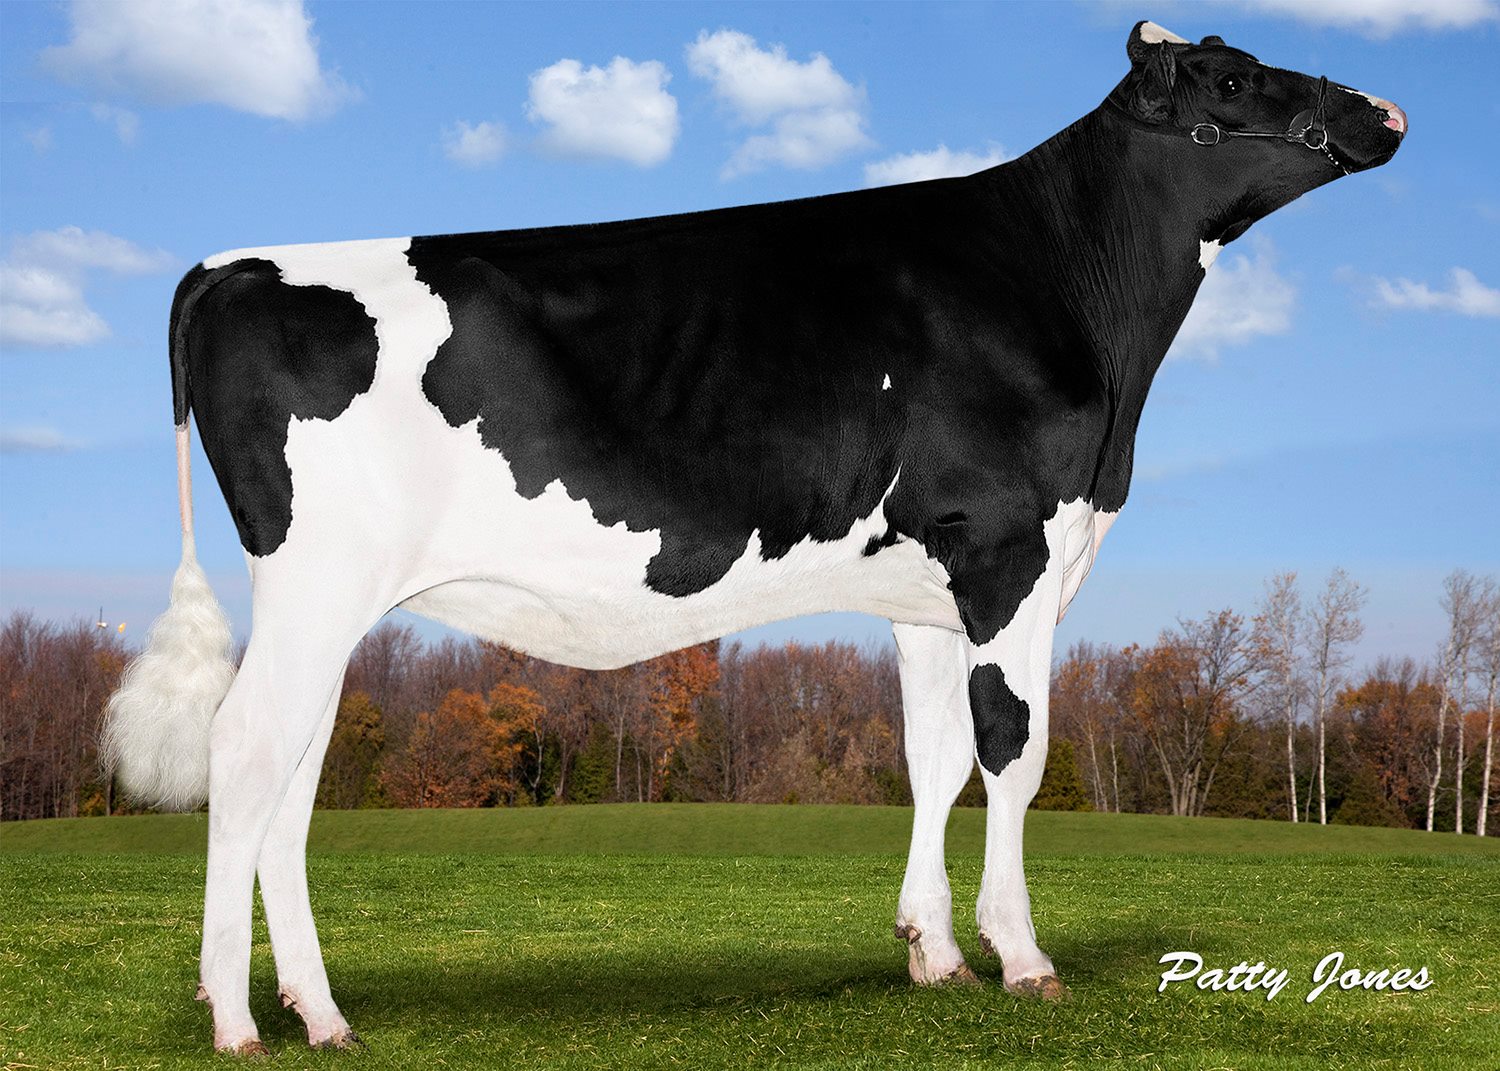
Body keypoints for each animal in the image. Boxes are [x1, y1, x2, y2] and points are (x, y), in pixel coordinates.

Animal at [103, 21, 1404, 1054]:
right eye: (1232, 79)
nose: (1381, 109)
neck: (1065, 292)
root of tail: (233, 264)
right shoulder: (1011, 555)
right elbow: (1013, 754)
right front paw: (1023, 958)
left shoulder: (928, 589)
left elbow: (934, 759)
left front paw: (934, 954)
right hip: (316, 582)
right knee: (245, 753)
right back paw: (235, 1020)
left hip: (327, 607)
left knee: (293, 773)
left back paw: (319, 1013)